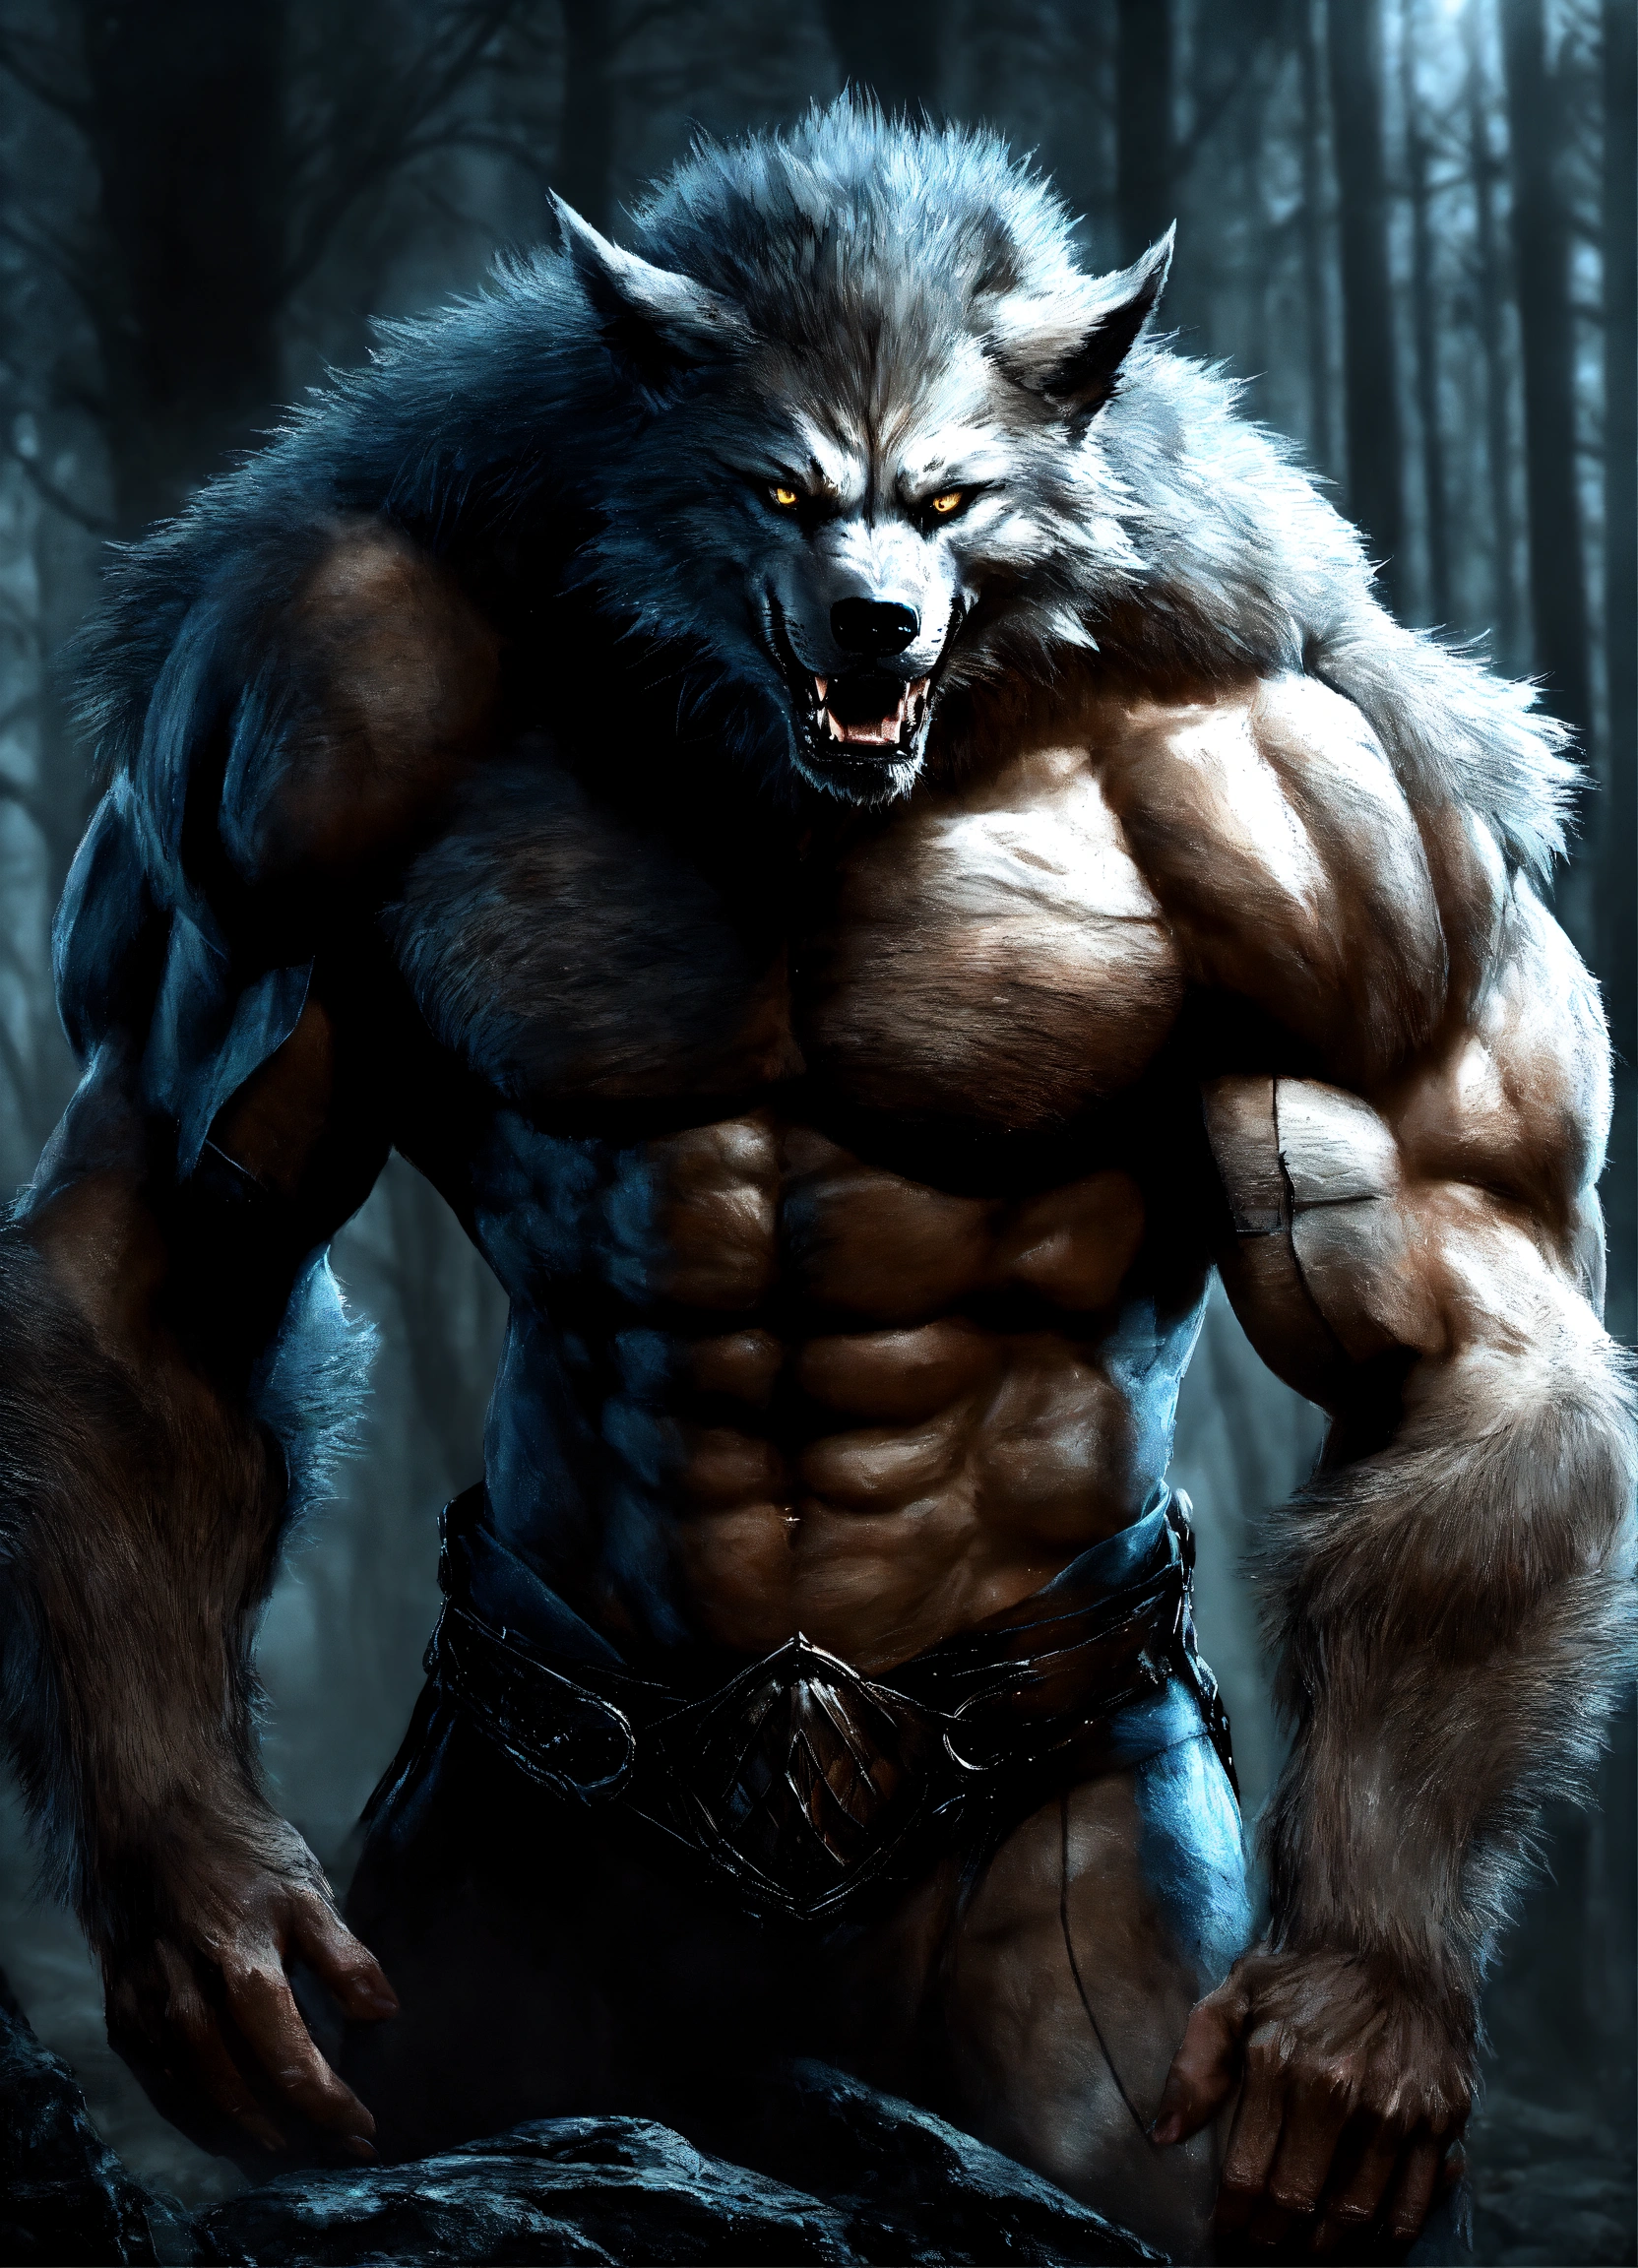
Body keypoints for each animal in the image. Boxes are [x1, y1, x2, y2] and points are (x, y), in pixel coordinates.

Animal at [0, 98, 1630, 2264]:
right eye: (776, 488)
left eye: (945, 500)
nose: (872, 617)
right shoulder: (289, 728)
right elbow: (173, 1257)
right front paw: (202, 1911)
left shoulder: (1351, 827)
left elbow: (1453, 1329)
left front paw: (1359, 2004)